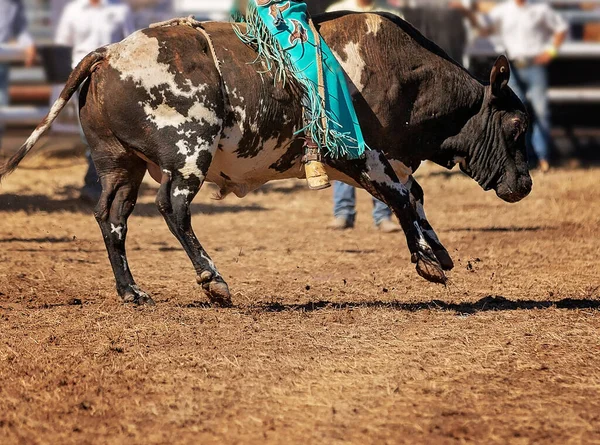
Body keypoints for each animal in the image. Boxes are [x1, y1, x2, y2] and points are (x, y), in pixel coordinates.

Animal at [0, 13, 532, 306]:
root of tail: (108, 54)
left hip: (118, 164)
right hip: (188, 154)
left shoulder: (378, 163)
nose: (524, 184)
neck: (402, 74)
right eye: (517, 126)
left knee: (112, 217)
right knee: (173, 207)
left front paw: (437, 250)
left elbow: (413, 196)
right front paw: (426, 261)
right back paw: (213, 280)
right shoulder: (362, 154)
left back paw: (132, 291)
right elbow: (403, 198)